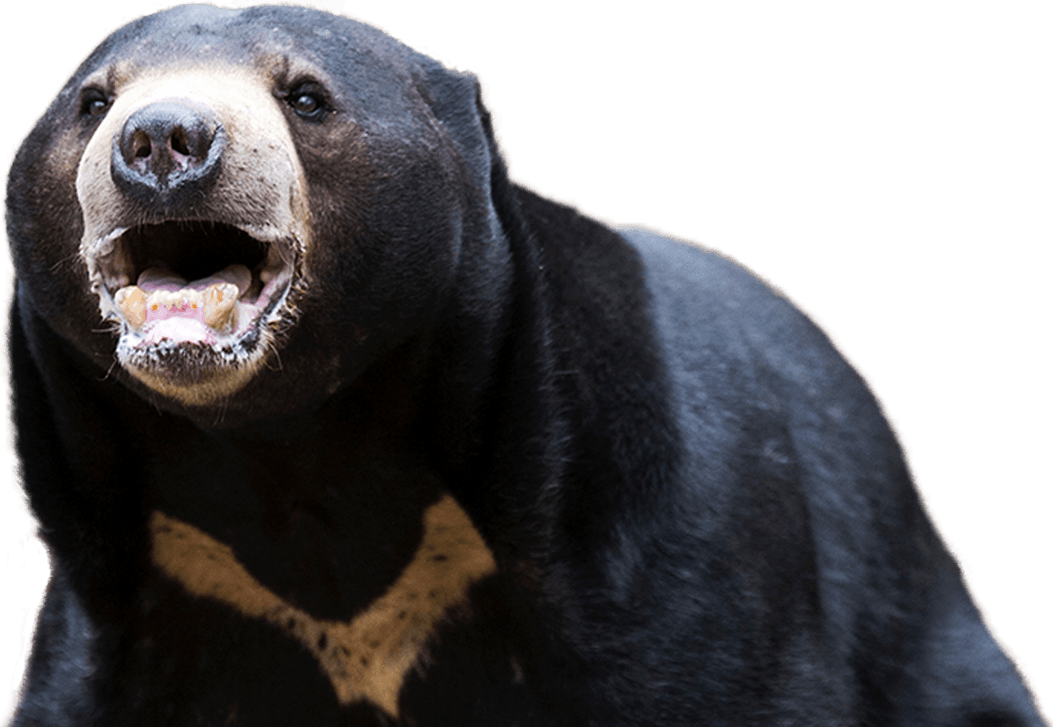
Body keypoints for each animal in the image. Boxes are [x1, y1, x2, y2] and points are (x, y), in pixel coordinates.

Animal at [1, 3, 1046, 726]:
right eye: (93, 101)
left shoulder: (648, 542)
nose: (163, 141)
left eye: (305, 96)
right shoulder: (124, 605)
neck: (294, 446)